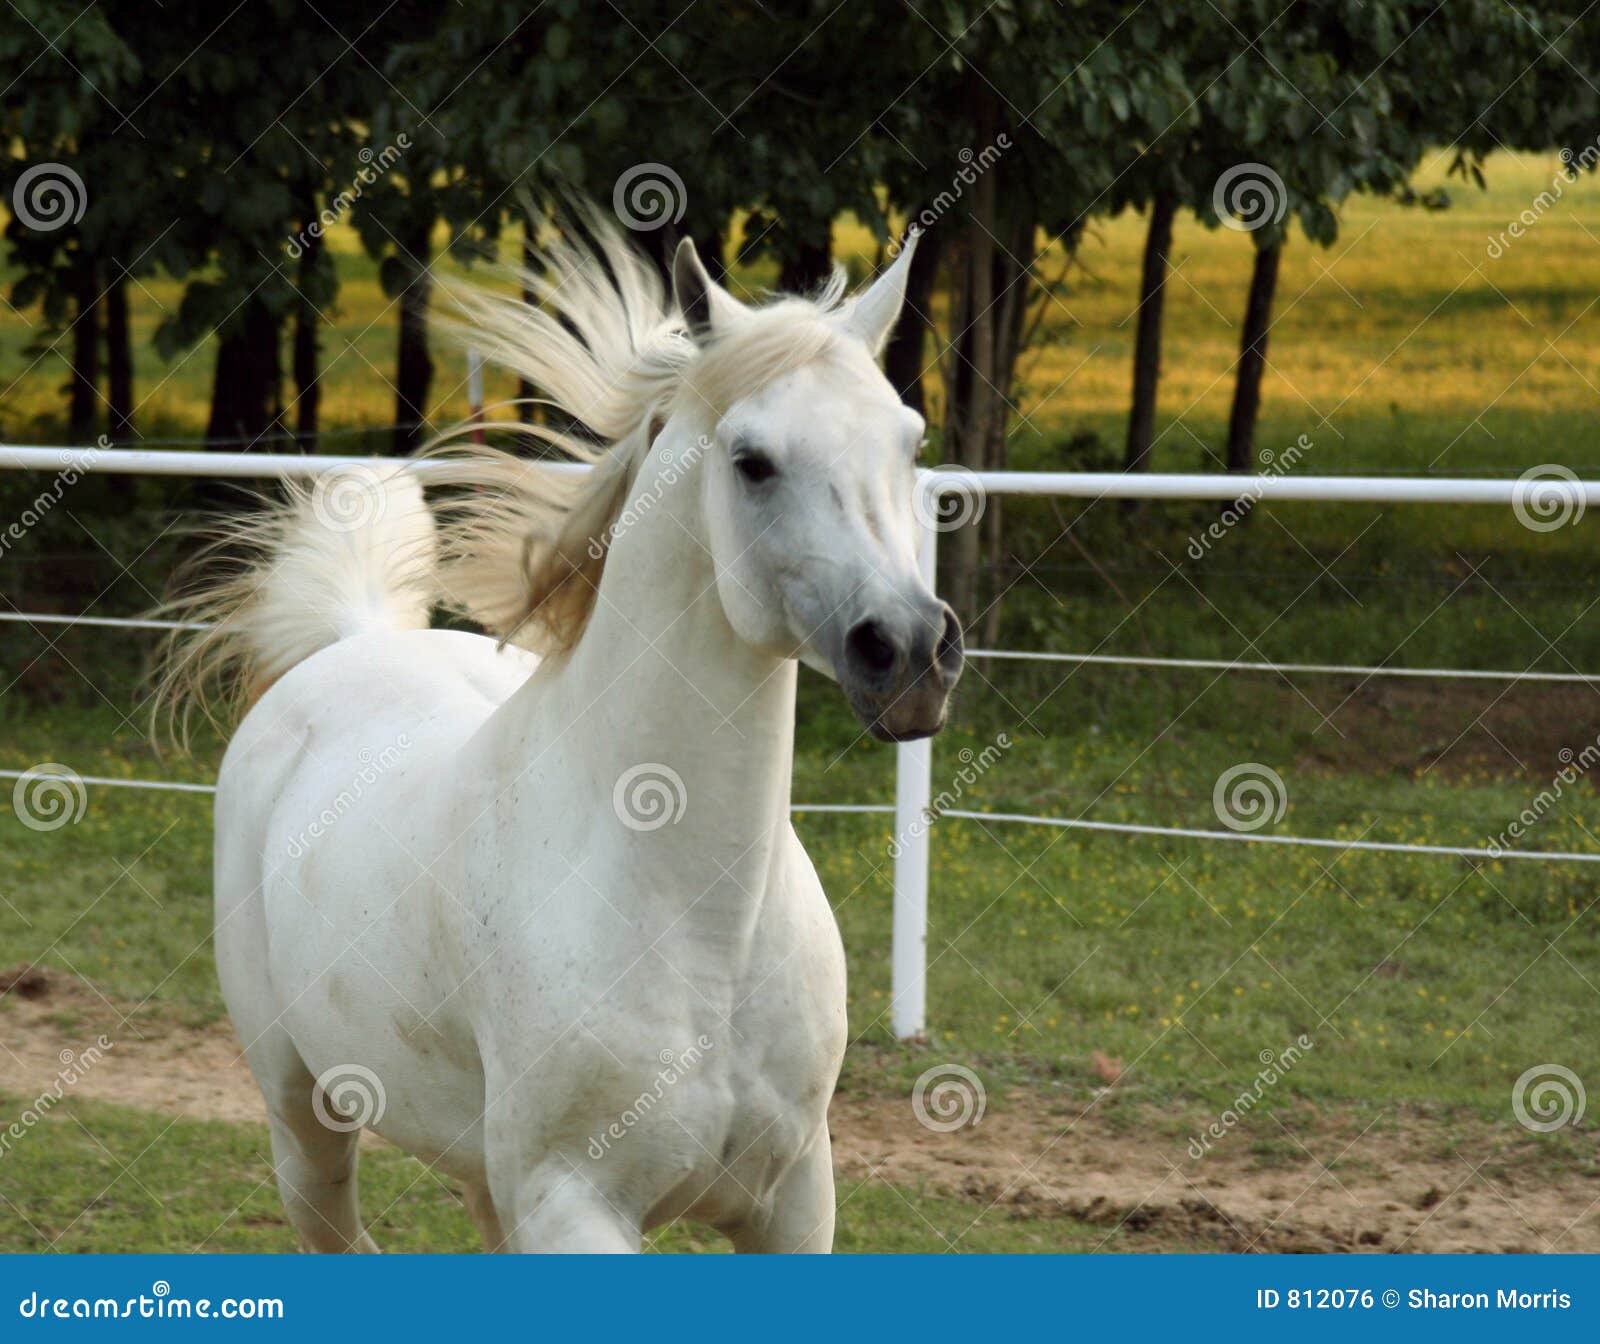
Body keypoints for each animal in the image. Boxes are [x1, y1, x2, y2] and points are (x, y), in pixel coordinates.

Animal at [155, 216, 963, 1253]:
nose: (910, 652)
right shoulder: (572, 1203)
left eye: (909, 443)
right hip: (303, 1115)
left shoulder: (794, 1199)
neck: (705, 930)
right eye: (751, 460)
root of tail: (352, 640)